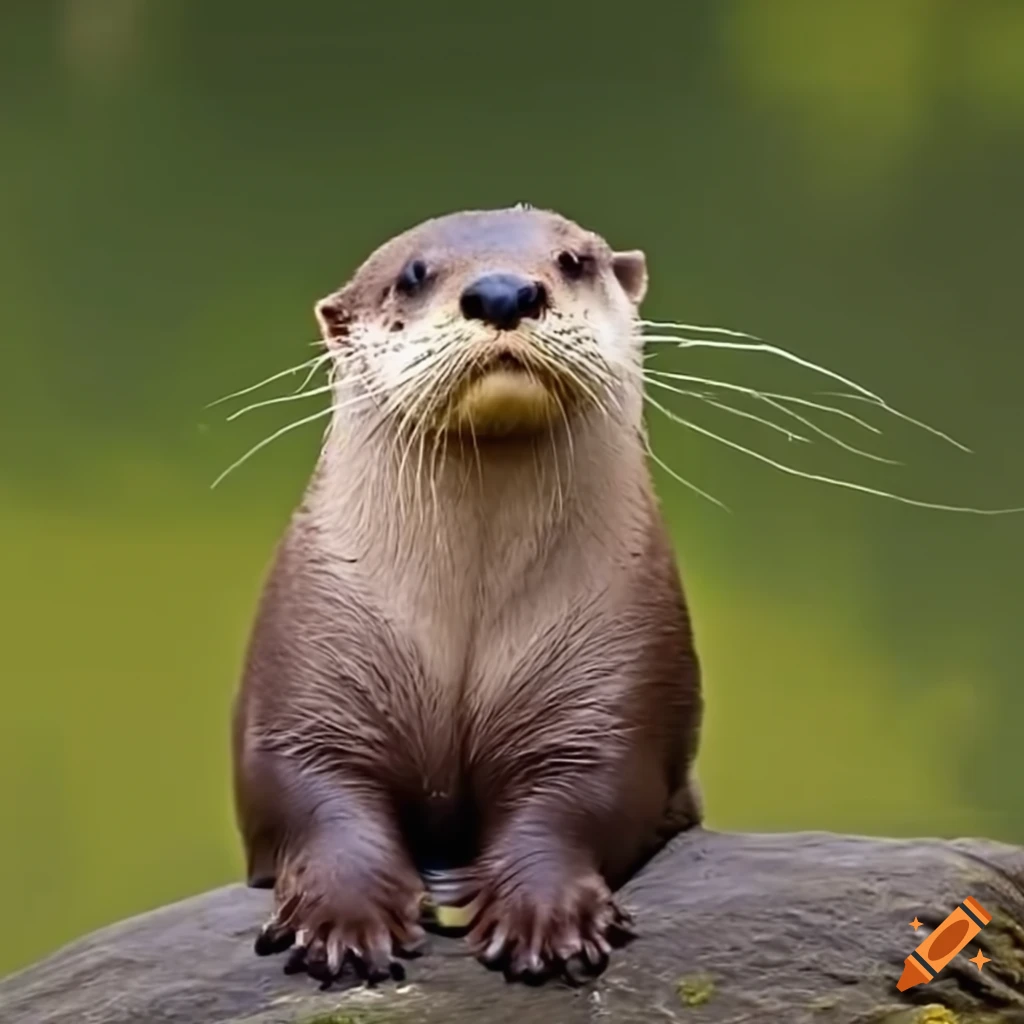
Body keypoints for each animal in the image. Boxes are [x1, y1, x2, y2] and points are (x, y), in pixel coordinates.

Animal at [232, 205, 703, 986]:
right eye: (413, 275)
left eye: (573, 261)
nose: (505, 293)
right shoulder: (307, 672)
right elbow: (307, 794)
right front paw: (344, 920)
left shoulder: (618, 678)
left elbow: (588, 795)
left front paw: (544, 914)